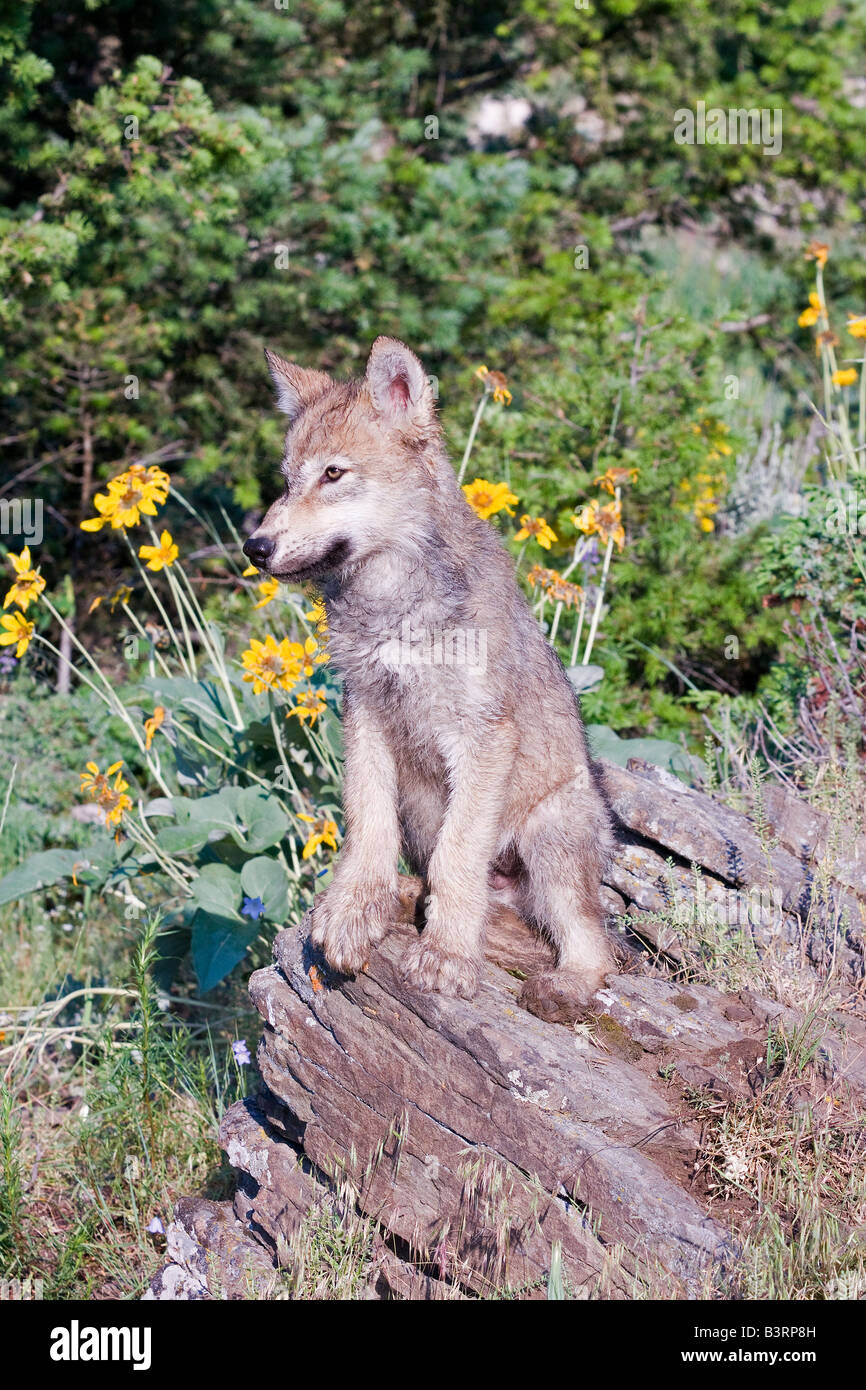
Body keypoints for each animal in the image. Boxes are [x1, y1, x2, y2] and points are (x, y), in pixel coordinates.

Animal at [243, 337, 615, 1011]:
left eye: (333, 475)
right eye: (286, 481)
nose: (253, 547)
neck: (392, 606)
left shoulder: (483, 737)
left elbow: (457, 856)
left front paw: (445, 954)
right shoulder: (364, 713)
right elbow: (366, 829)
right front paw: (352, 913)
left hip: (551, 834)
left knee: (596, 947)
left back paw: (559, 984)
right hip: (423, 812)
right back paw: (406, 903)